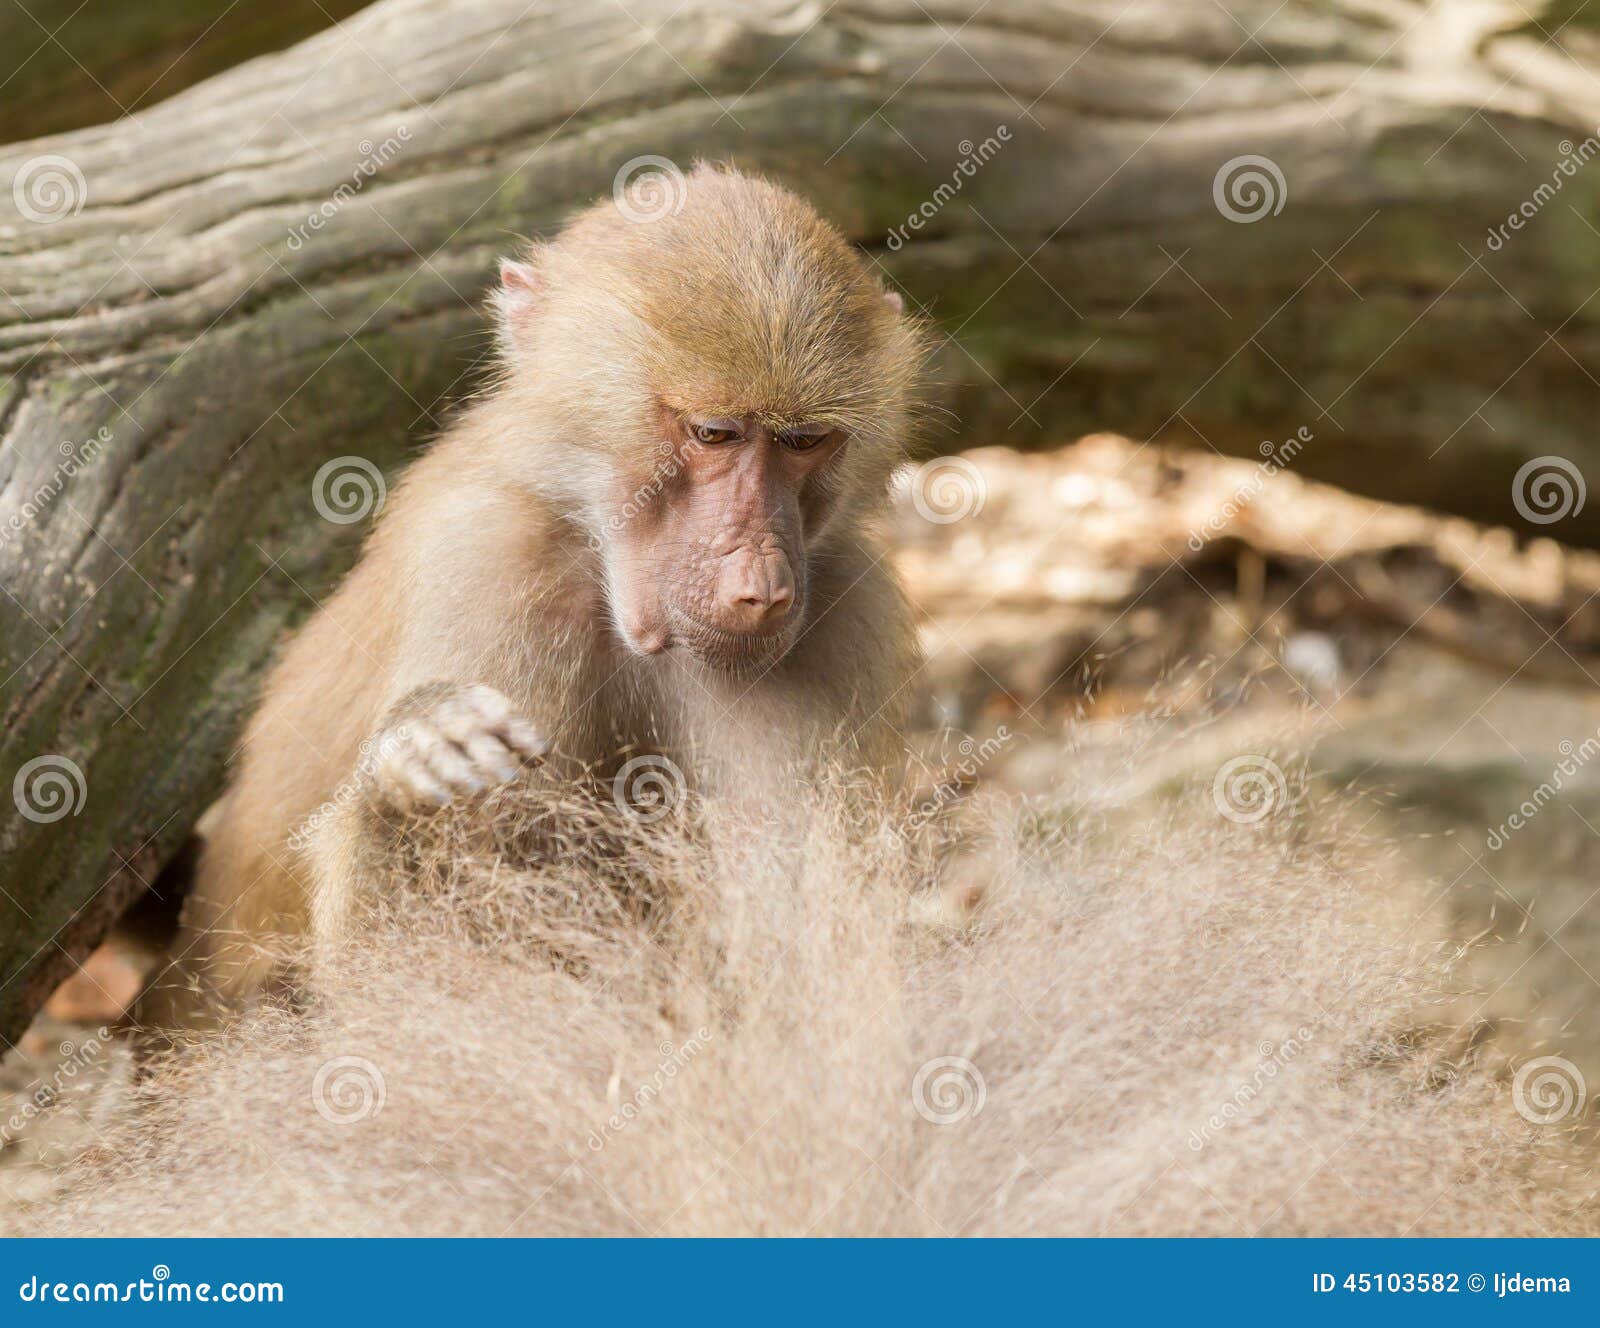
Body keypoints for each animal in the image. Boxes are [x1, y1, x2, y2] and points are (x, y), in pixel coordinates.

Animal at [135, 163, 926, 1032]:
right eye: (713, 433)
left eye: (804, 441)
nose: (761, 587)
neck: (595, 551)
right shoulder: (486, 559)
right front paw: (412, 773)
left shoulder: (844, 609)